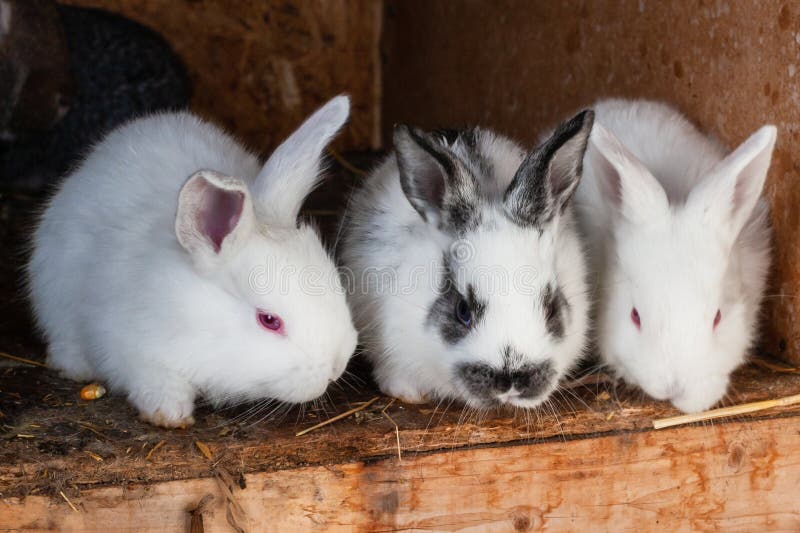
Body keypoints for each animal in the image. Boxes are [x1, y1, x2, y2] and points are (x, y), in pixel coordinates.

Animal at [28, 96, 358, 428]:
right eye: (269, 320)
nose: (335, 367)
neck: (199, 315)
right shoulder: (128, 347)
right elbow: (155, 380)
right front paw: (170, 413)